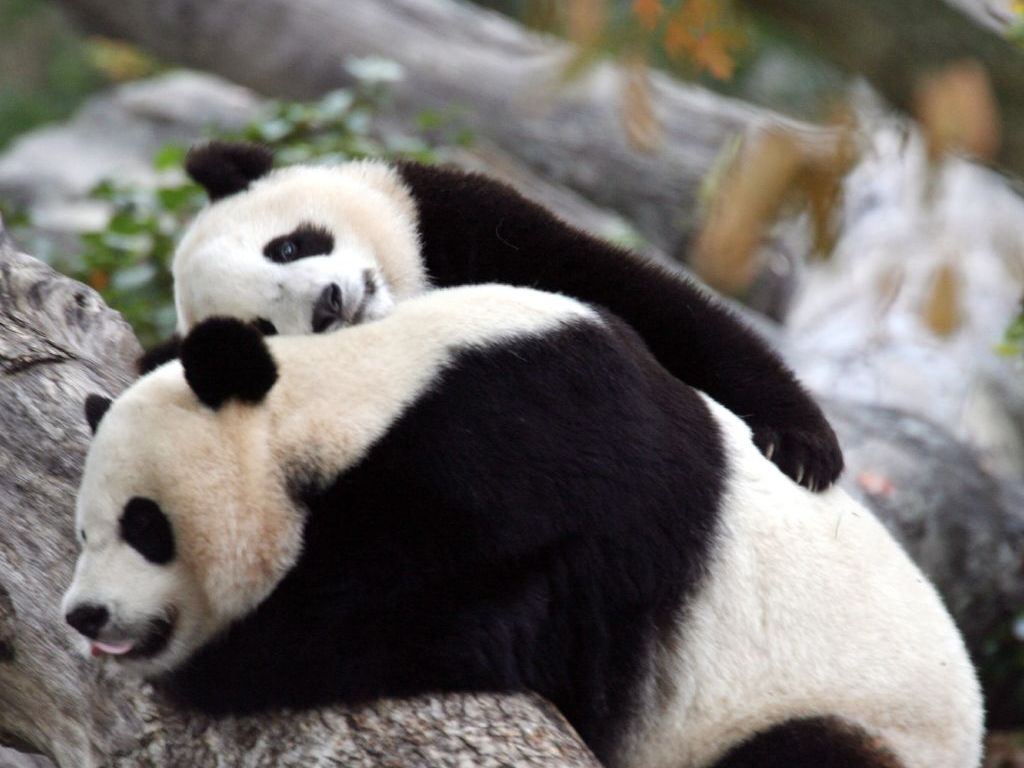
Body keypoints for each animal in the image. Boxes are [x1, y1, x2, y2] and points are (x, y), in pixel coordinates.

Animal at [63, 284, 982, 768]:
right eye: (81, 533)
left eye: (145, 526)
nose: (85, 614)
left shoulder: (526, 455)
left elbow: (451, 616)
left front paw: (218, 664)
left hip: (855, 721)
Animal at [144, 140, 843, 493]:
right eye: (264, 327)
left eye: (286, 247)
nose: (329, 305)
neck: (411, 291)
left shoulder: (464, 222)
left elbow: (660, 307)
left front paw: (803, 447)